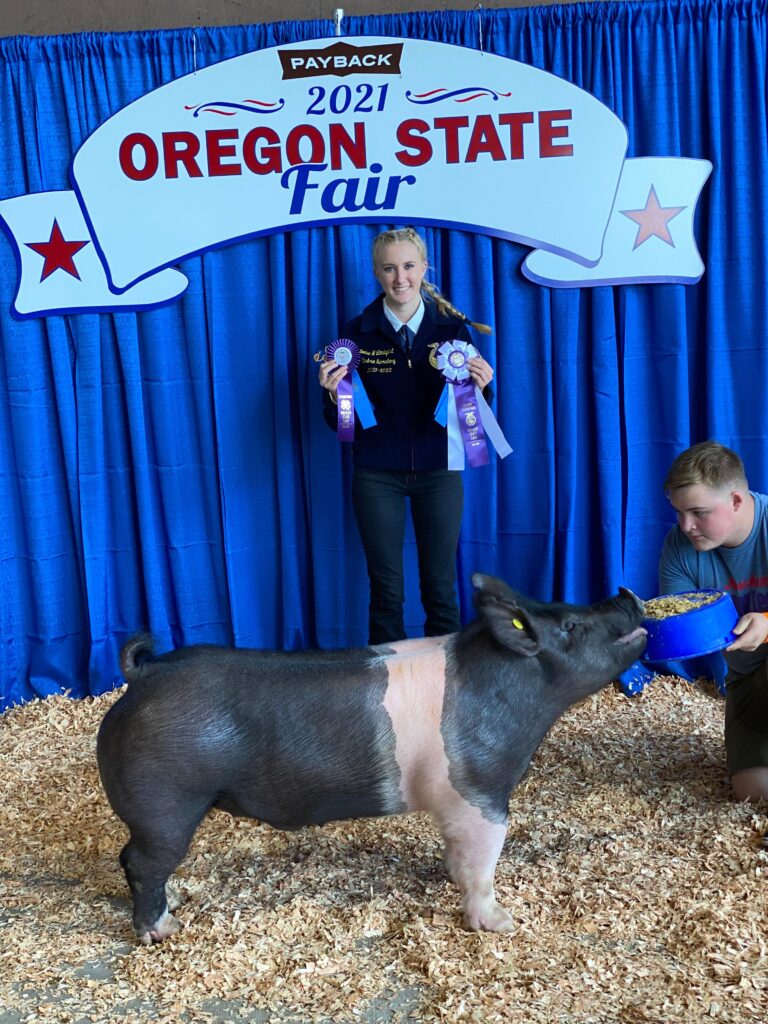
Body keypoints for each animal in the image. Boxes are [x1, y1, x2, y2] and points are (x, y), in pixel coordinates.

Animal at [96, 573, 646, 944]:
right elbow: (484, 863)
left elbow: (459, 855)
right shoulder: (480, 790)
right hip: (164, 804)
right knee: (139, 862)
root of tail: (143, 676)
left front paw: (451, 876)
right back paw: (164, 927)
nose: (624, 590)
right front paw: (501, 924)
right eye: (572, 624)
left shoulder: (457, 805)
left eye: (567, 601)